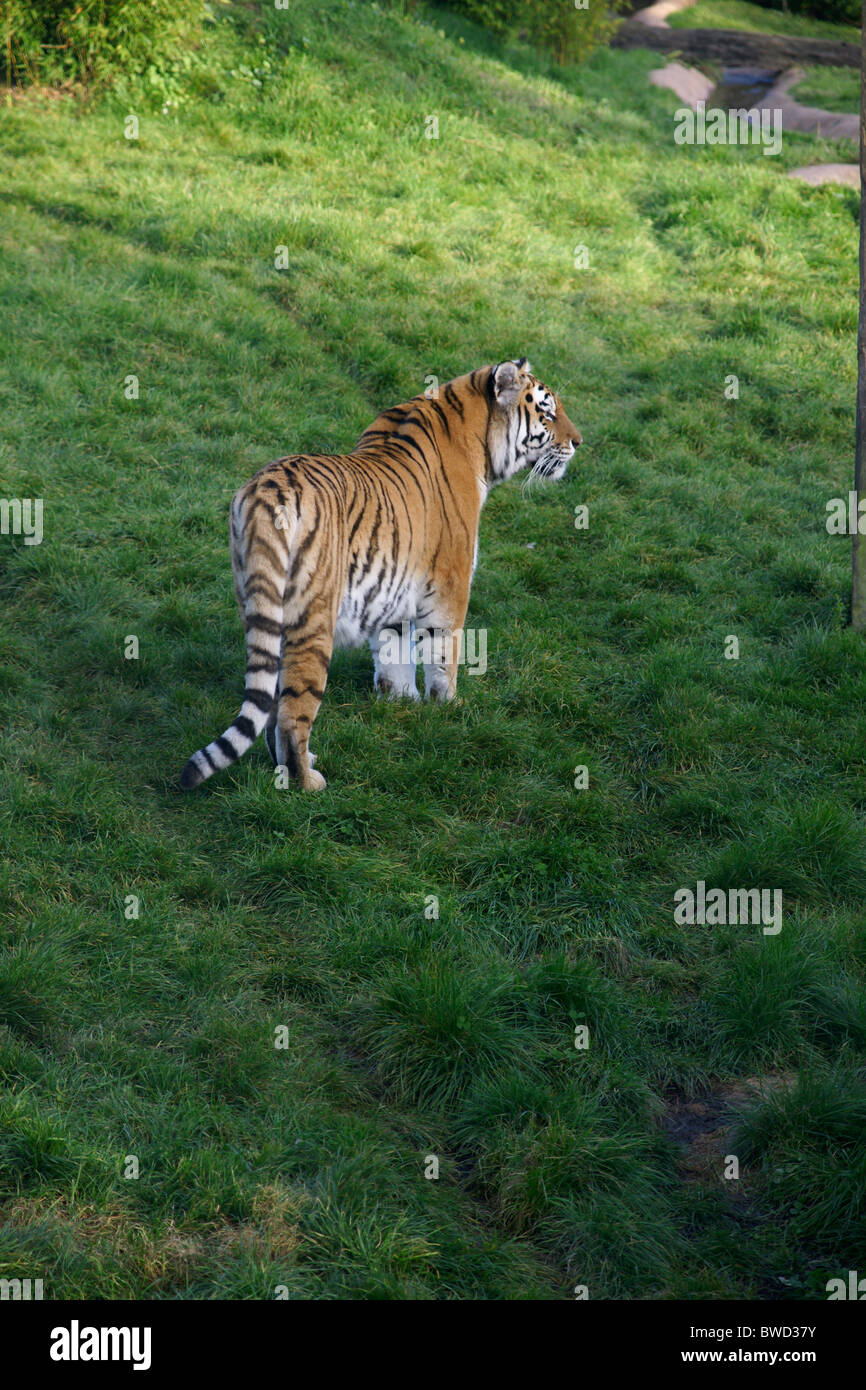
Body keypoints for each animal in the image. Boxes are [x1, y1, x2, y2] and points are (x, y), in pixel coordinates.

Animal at [179, 358, 581, 792]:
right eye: (547, 412)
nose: (578, 442)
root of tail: (266, 491)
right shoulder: (451, 584)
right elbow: (444, 655)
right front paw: (448, 708)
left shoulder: (395, 586)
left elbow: (395, 654)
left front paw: (402, 702)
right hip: (312, 618)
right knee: (291, 711)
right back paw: (306, 781)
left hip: (258, 603)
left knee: (269, 698)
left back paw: (285, 766)